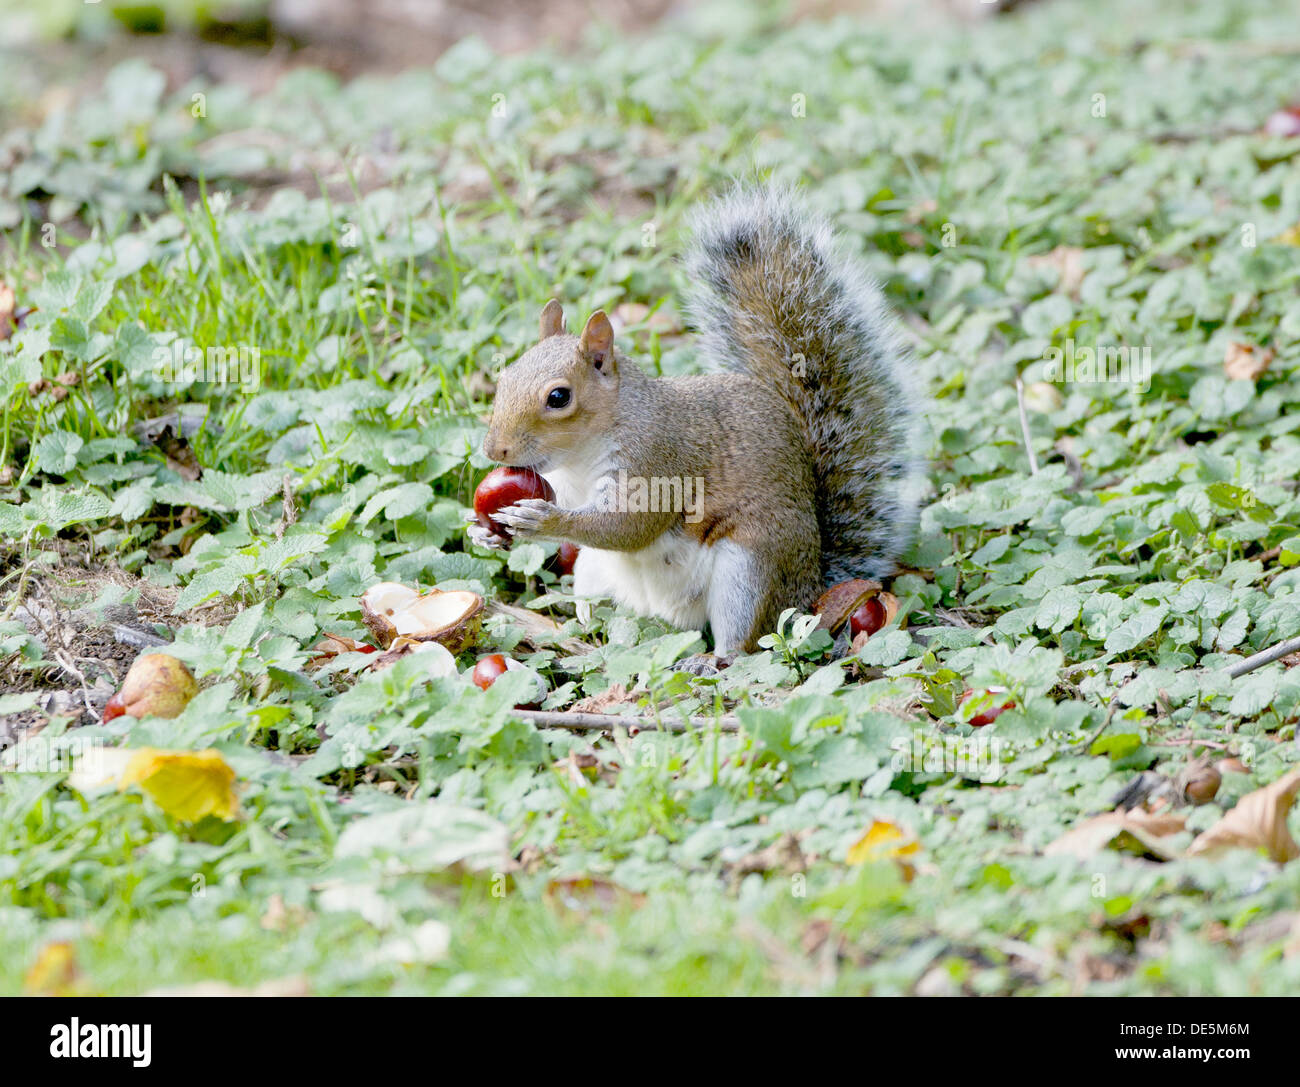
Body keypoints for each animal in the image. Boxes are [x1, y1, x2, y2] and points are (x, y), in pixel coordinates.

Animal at [469, 184, 924, 668]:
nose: (494, 450)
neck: (580, 454)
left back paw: (706, 660)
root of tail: (810, 586)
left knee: (745, 646)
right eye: (505, 376)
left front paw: (542, 519)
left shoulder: (655, 461)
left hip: (749, 571)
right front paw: (483, 532)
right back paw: (587, 639)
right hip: (595, 573)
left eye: (558, 398)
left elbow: (627, 527)